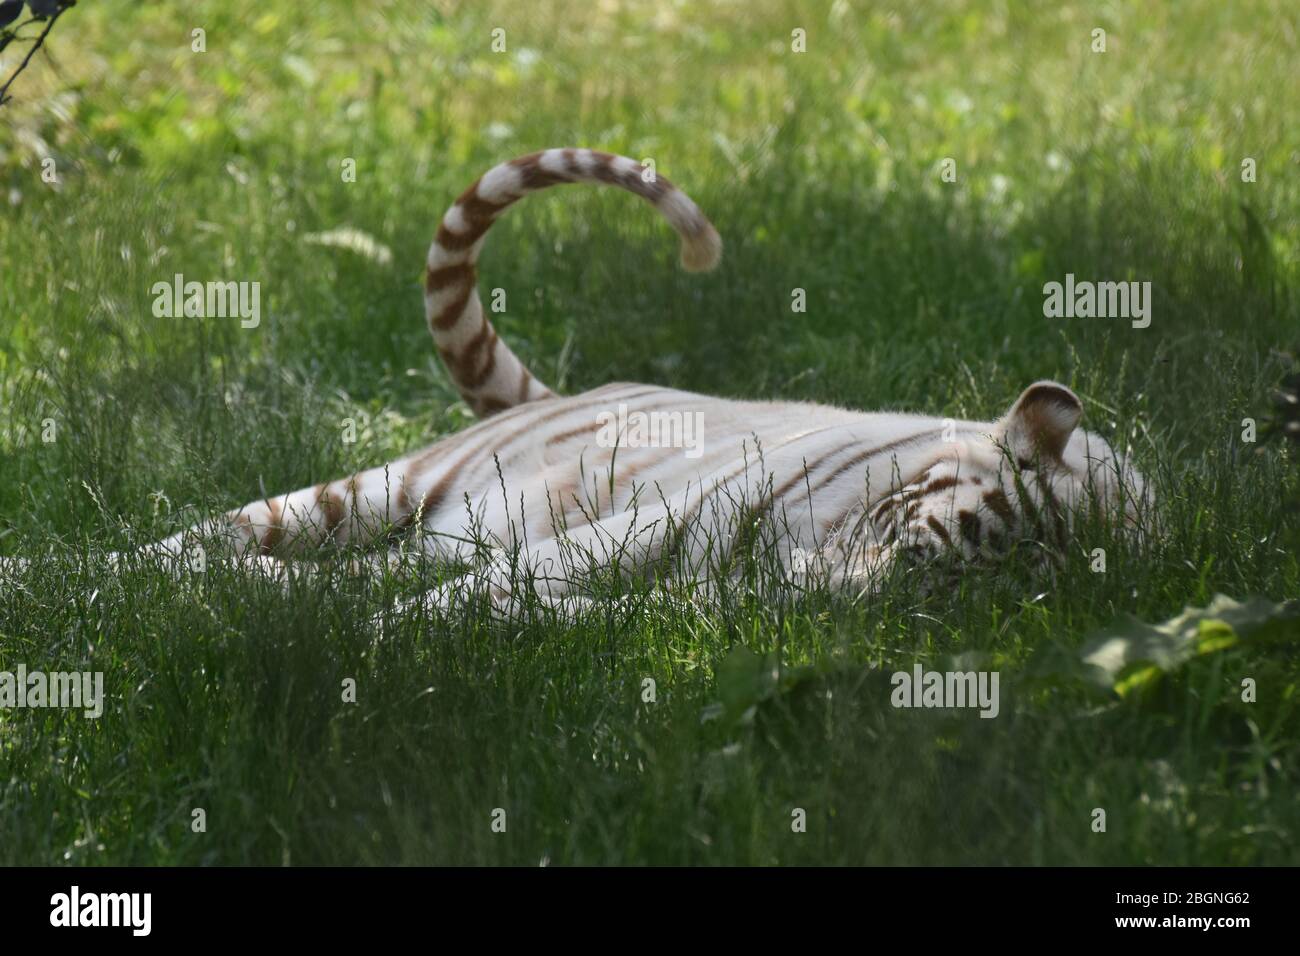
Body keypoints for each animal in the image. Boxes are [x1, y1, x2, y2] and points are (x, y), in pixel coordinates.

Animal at [2, 148, 1149, 616]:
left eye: (939, 597)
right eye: (916, 551)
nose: (818, 601)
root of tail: (560, 392)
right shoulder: (648, 524)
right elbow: (492, 593)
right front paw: (400, 646)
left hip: (424, 527)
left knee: (319, 576)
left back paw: (278, 604)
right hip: (359, 492)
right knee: (173, 548)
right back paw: (63, 580)